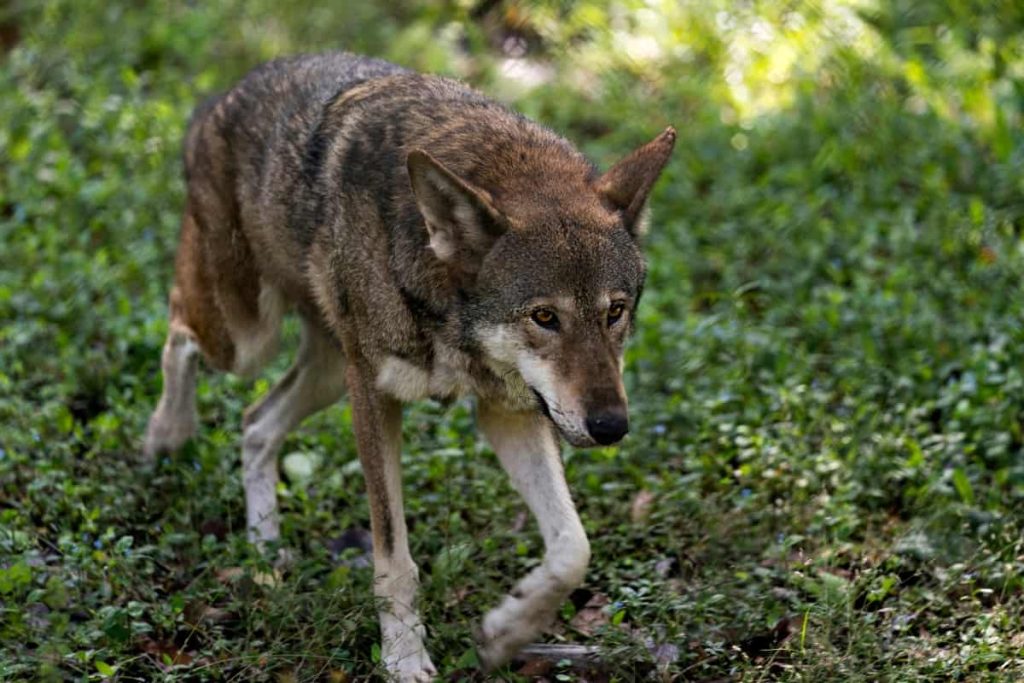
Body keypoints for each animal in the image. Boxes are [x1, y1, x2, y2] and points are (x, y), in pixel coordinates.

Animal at [143, 52, 674, 681]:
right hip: (251, 340)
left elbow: (573, 548)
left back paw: (266, 555)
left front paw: (505, 632)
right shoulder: (375, 399)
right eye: (545, 317)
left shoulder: (511, 411)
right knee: (178, 333)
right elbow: (394, 558)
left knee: (254, 423)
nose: (612, 426)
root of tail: (221, 97)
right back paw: (166, 435)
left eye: (615, 311)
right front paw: (404, 658)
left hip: (325, 373)